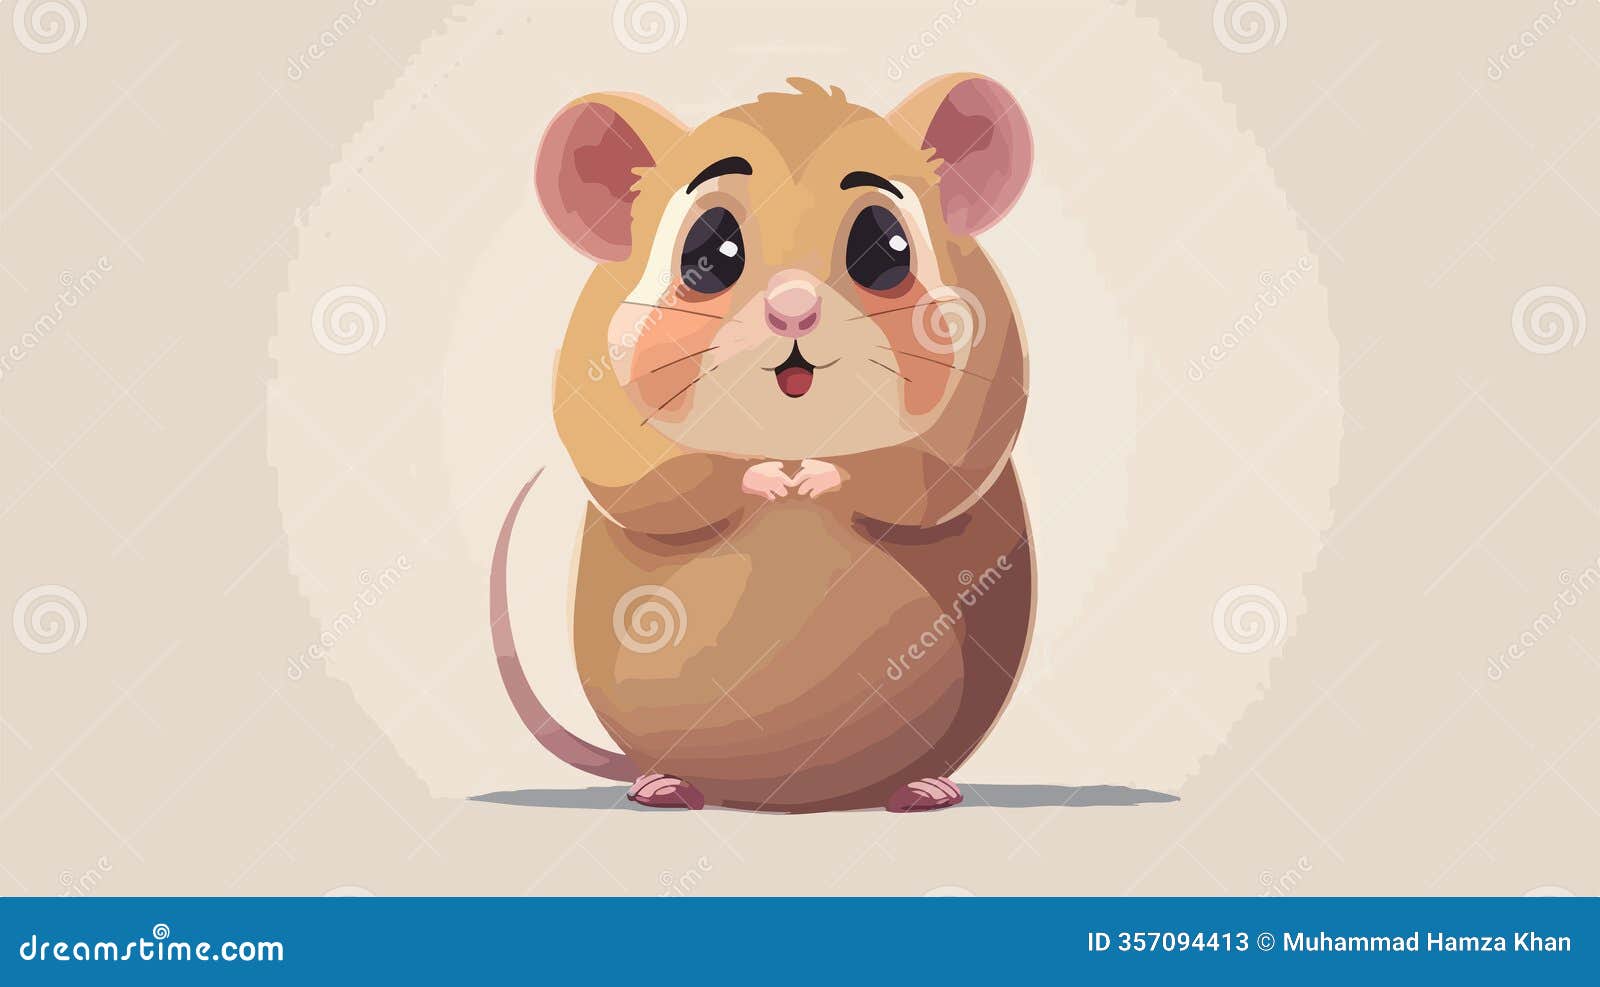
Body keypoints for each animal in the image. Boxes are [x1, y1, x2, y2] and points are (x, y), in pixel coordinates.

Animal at [491, 75, 1034, 812]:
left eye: (884, 246)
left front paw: (813, 479)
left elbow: (929, 474)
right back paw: (662, 788)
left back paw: (925, 790)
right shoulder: (597, 406)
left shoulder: (985, 404)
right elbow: (648, 477)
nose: (794, 310)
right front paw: (775, 480)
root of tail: (792, 799)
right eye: (710, 251)